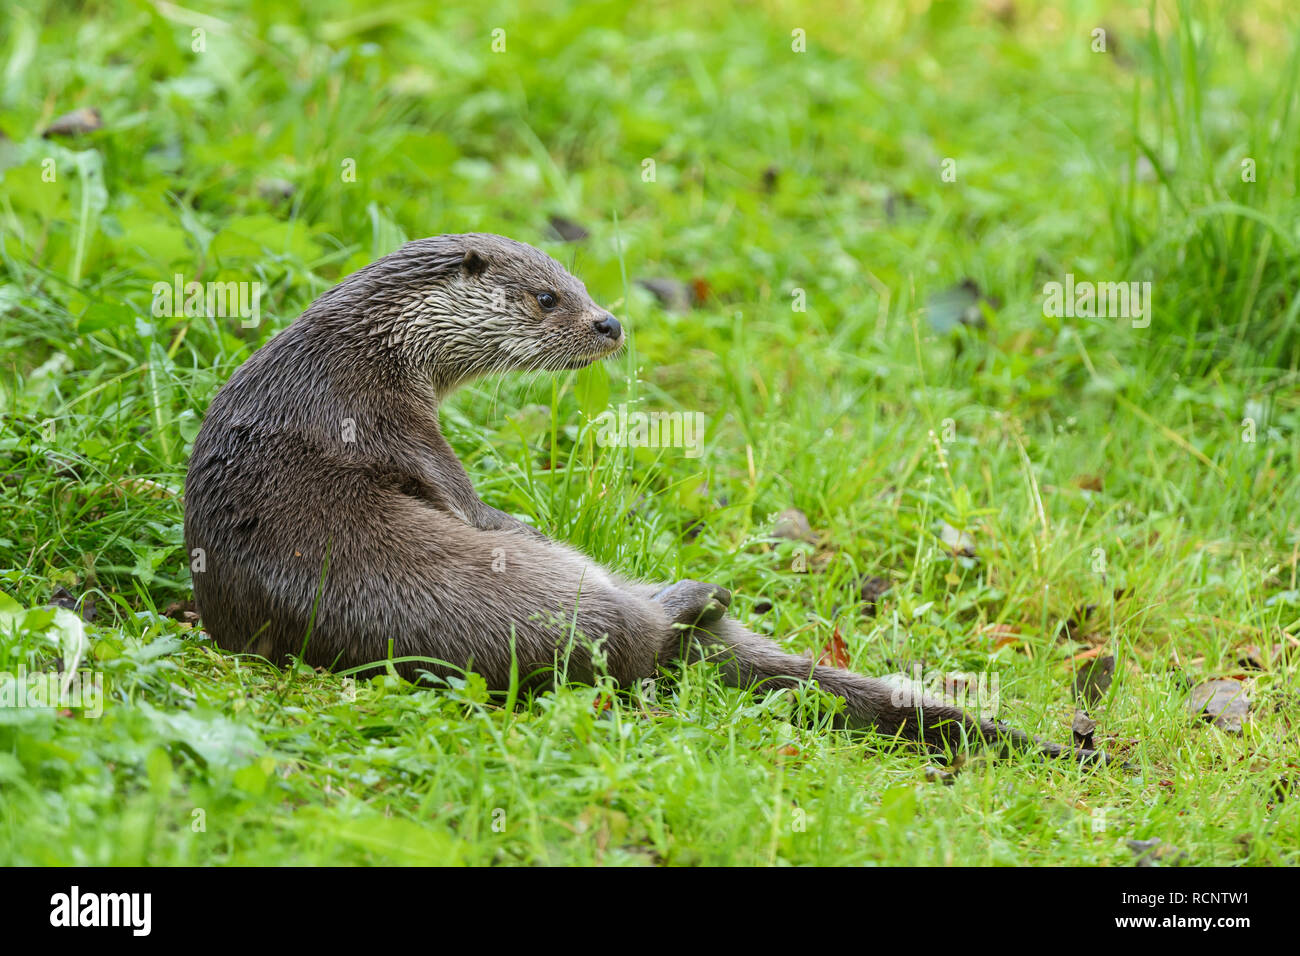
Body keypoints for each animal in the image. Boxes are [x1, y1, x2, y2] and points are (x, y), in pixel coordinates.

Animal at [184, 233, 1099, 761]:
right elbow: (459, 495)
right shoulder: (379, 417)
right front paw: (506, 514)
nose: (610, 323)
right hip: (540, 599)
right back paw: (699, 598)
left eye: (580, 282)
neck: (367, 350)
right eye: (547, 297)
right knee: (633, 644)